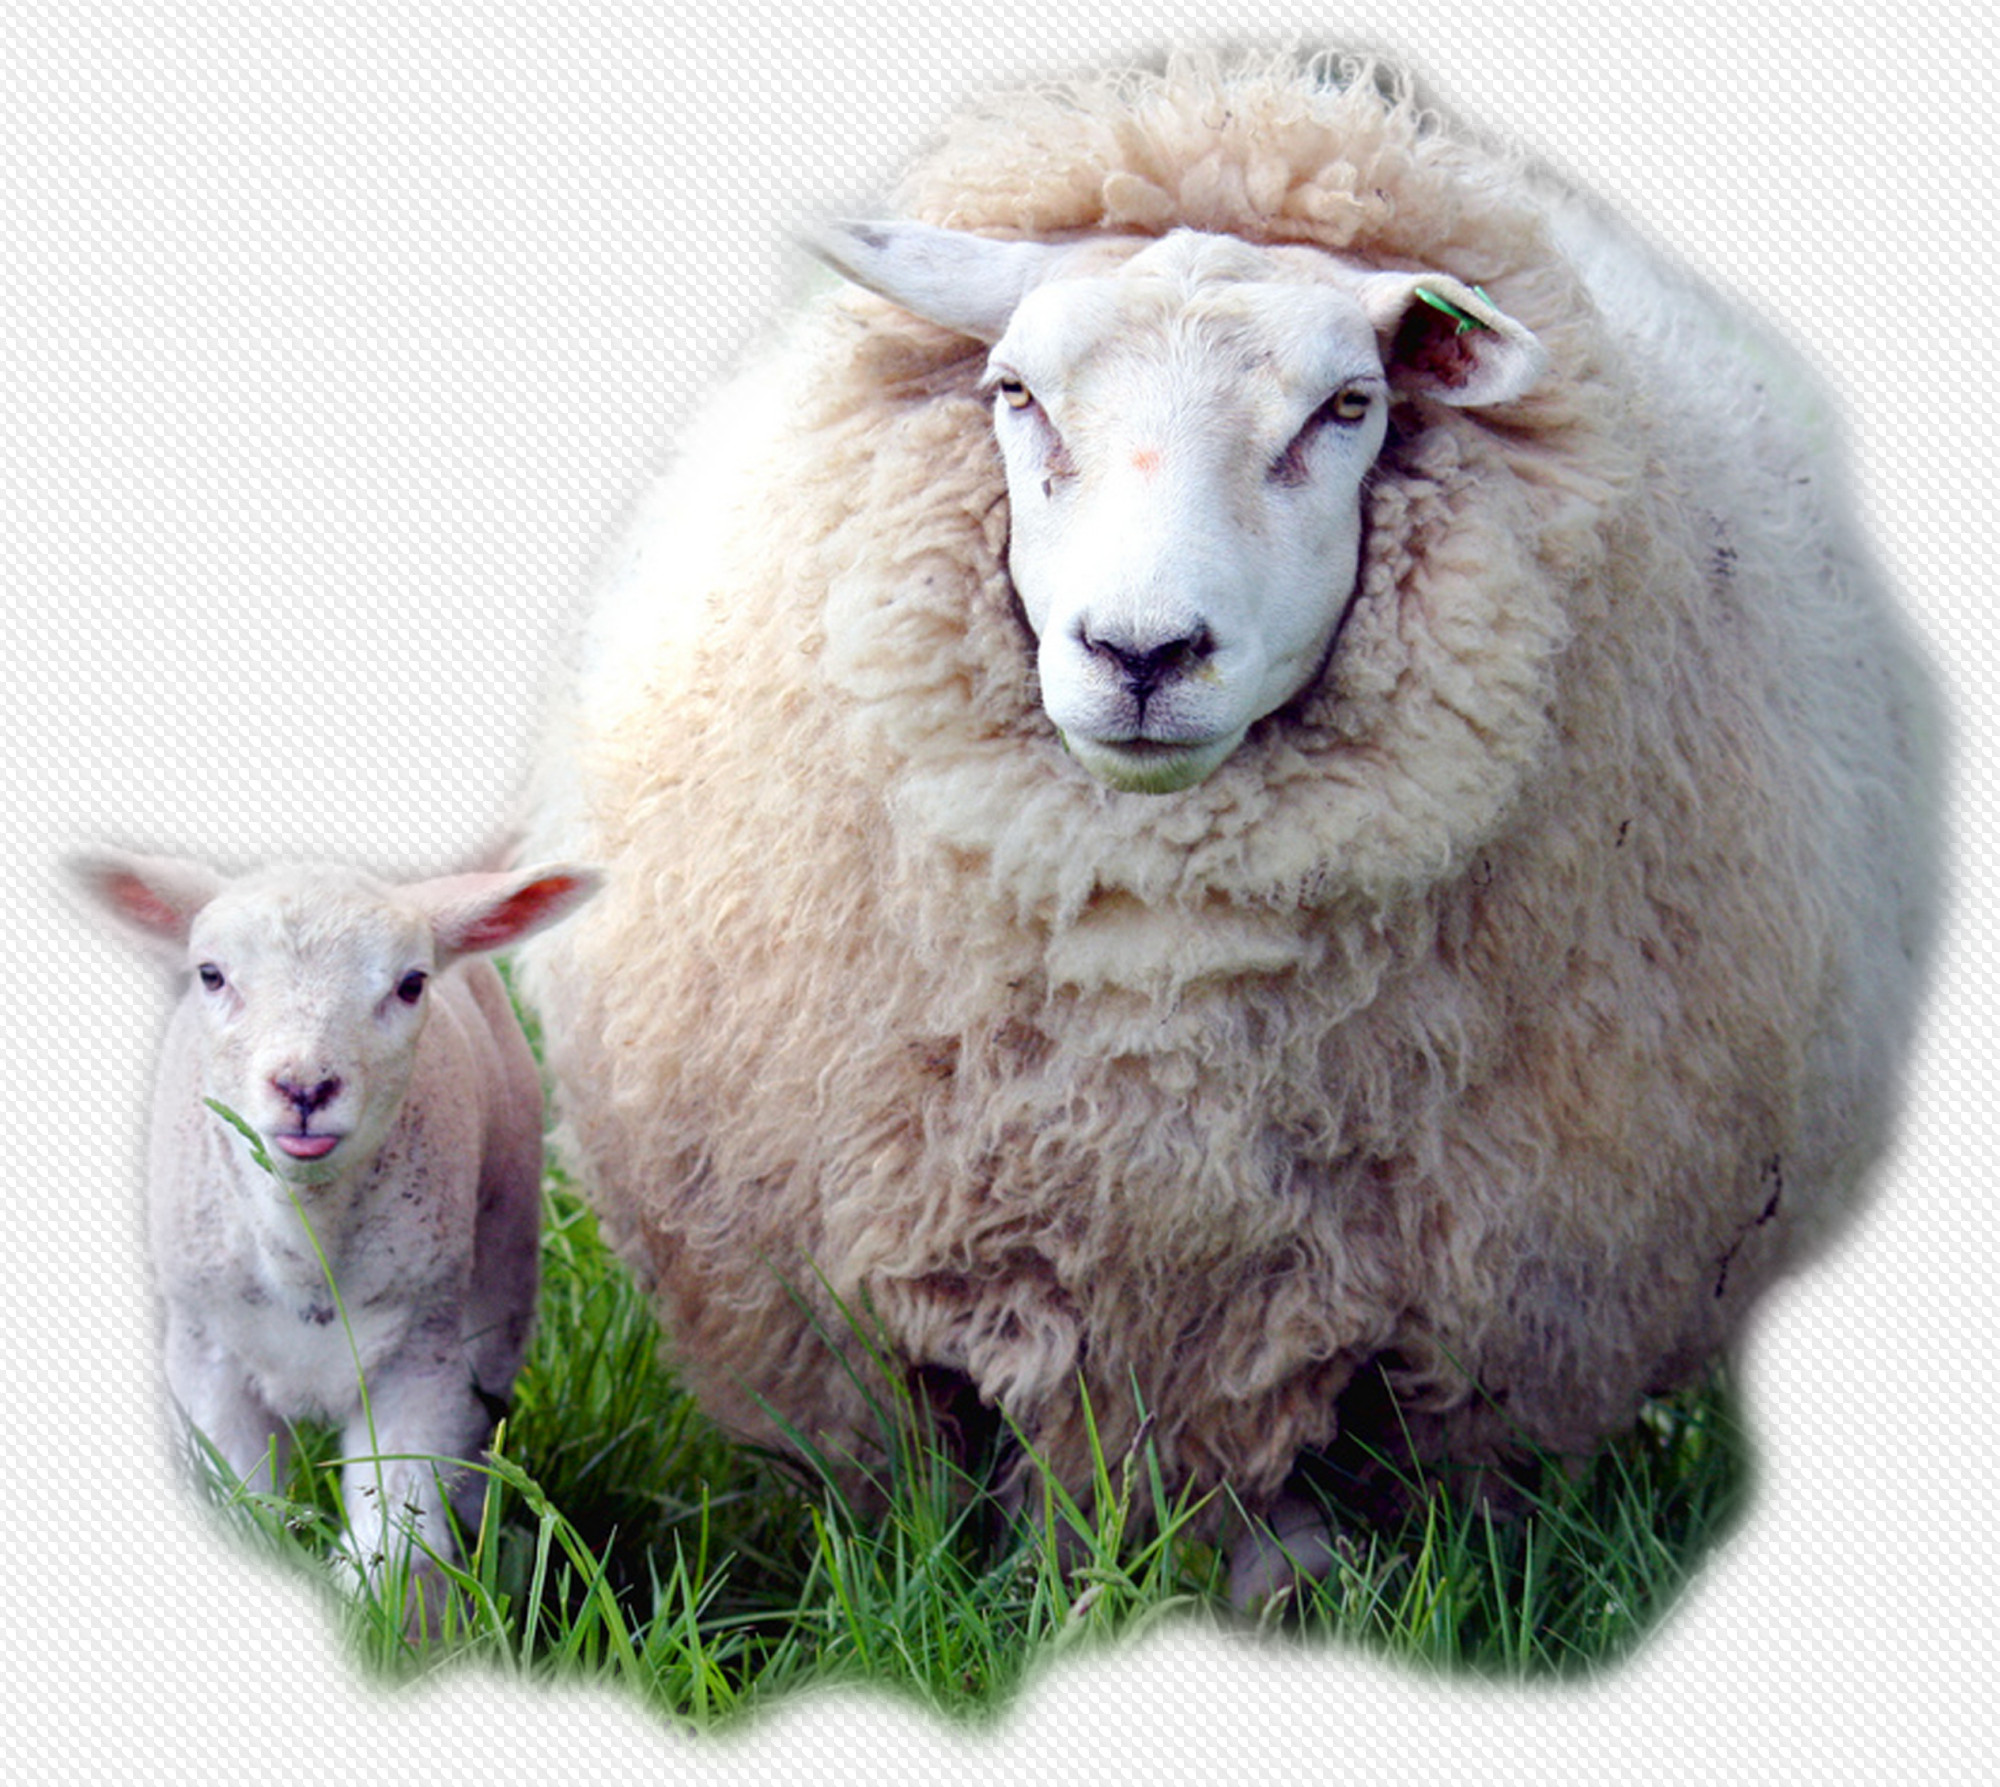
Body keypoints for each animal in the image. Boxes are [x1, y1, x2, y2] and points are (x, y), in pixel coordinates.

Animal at [76, 850, 599, 1625]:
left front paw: (405, 1614)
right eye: (211, 974)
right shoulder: (205, 1354)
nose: (304, 1088)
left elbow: (400, 1527)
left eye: (411, 984)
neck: (305, 1243)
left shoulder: (421, 1350)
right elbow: (242, 1501)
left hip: (502, 1255)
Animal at [515, 53, 1936, 1599]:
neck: (1162, 982)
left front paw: (1299, 1593)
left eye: (1348, 405)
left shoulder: (1479, 1324)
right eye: (1015, 392)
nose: (1142, 652)